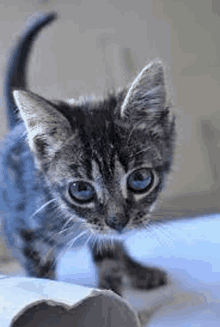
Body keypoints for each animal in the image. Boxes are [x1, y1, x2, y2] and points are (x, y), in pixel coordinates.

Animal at [0, 12, 175, 298]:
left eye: (140, 180)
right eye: (81, 190)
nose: (118, 222)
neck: (70, 219)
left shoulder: (103, 233)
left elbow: (109, 258)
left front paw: (112, 297)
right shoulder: (23, 233)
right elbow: (42, 280)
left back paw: (137, 270)